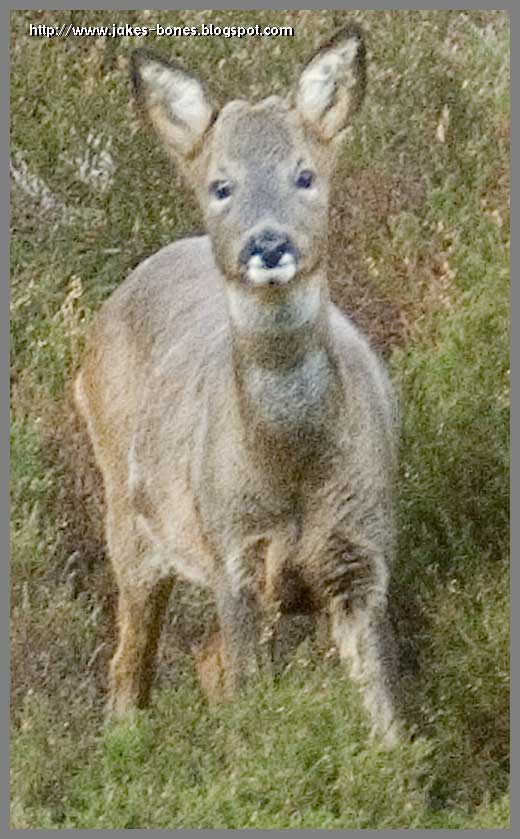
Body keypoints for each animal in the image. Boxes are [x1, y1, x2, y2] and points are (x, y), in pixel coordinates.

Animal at [74, 24, 402, 748]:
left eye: (305, 174)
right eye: (221, 185)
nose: (269, 244)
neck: (292, 470)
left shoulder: (362, 553)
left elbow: (386, 717)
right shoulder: (234, 555)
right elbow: (255, 706)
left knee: (201, 660)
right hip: (128, 523)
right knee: (129, 662)